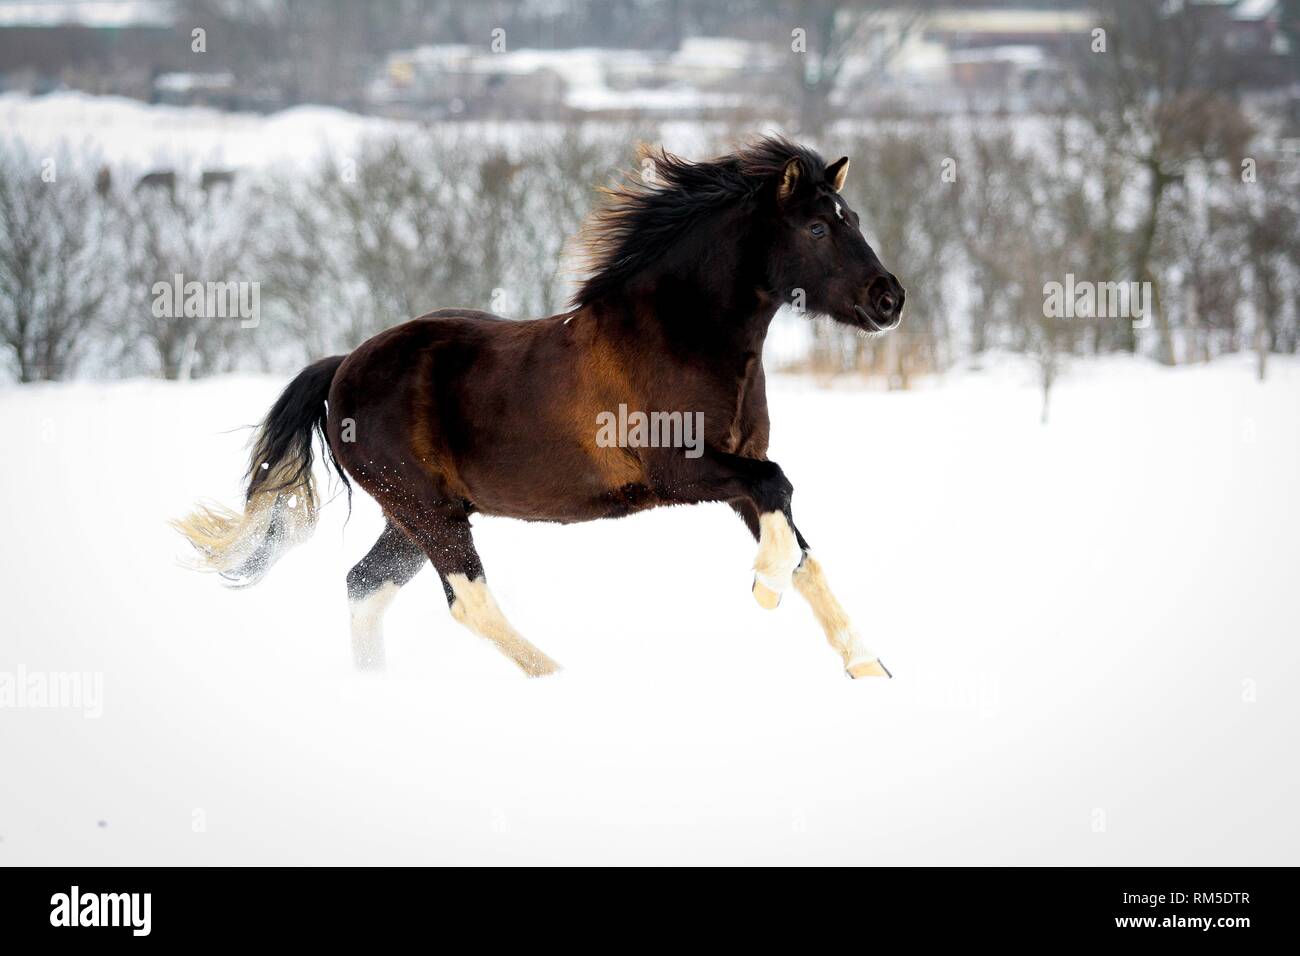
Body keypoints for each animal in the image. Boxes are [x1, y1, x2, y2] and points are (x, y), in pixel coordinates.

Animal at [173, 136, 905, 678]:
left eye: (856, 219)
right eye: (818, 226)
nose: (889, 299)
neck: (680, 336)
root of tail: (342, 368)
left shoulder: (733, 475)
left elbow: (802, 546)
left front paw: (868, 667)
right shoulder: (683, 471)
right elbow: (780, 489)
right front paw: (763, 587)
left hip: (413, 517)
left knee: (364, 585)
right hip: (426, 510)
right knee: (467, 601)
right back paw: (557, 679)